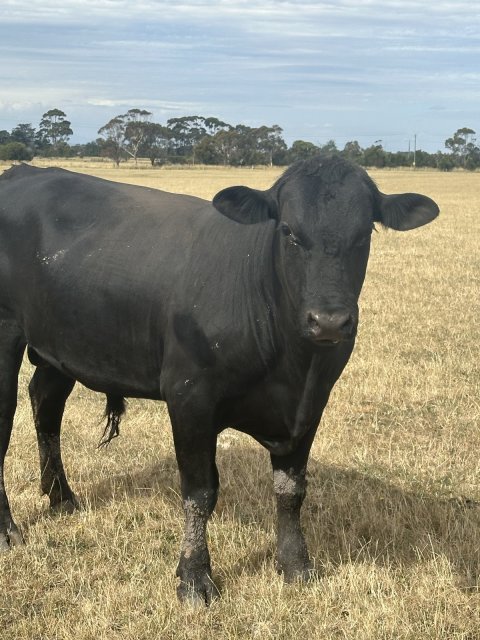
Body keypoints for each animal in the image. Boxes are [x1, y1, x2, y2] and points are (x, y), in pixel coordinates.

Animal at [0, 156, 438, 604]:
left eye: (365, 232)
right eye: (287, 230)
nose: (329, 320)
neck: (293, 368)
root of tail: (24, 170)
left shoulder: (311, 406)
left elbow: (291, 490)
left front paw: (295, 564)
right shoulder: (189, 399)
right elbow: (200, 492)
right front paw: (195, 575)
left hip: (61, 348)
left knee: (46, 406)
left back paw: (61, 497)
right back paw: (8, 529)